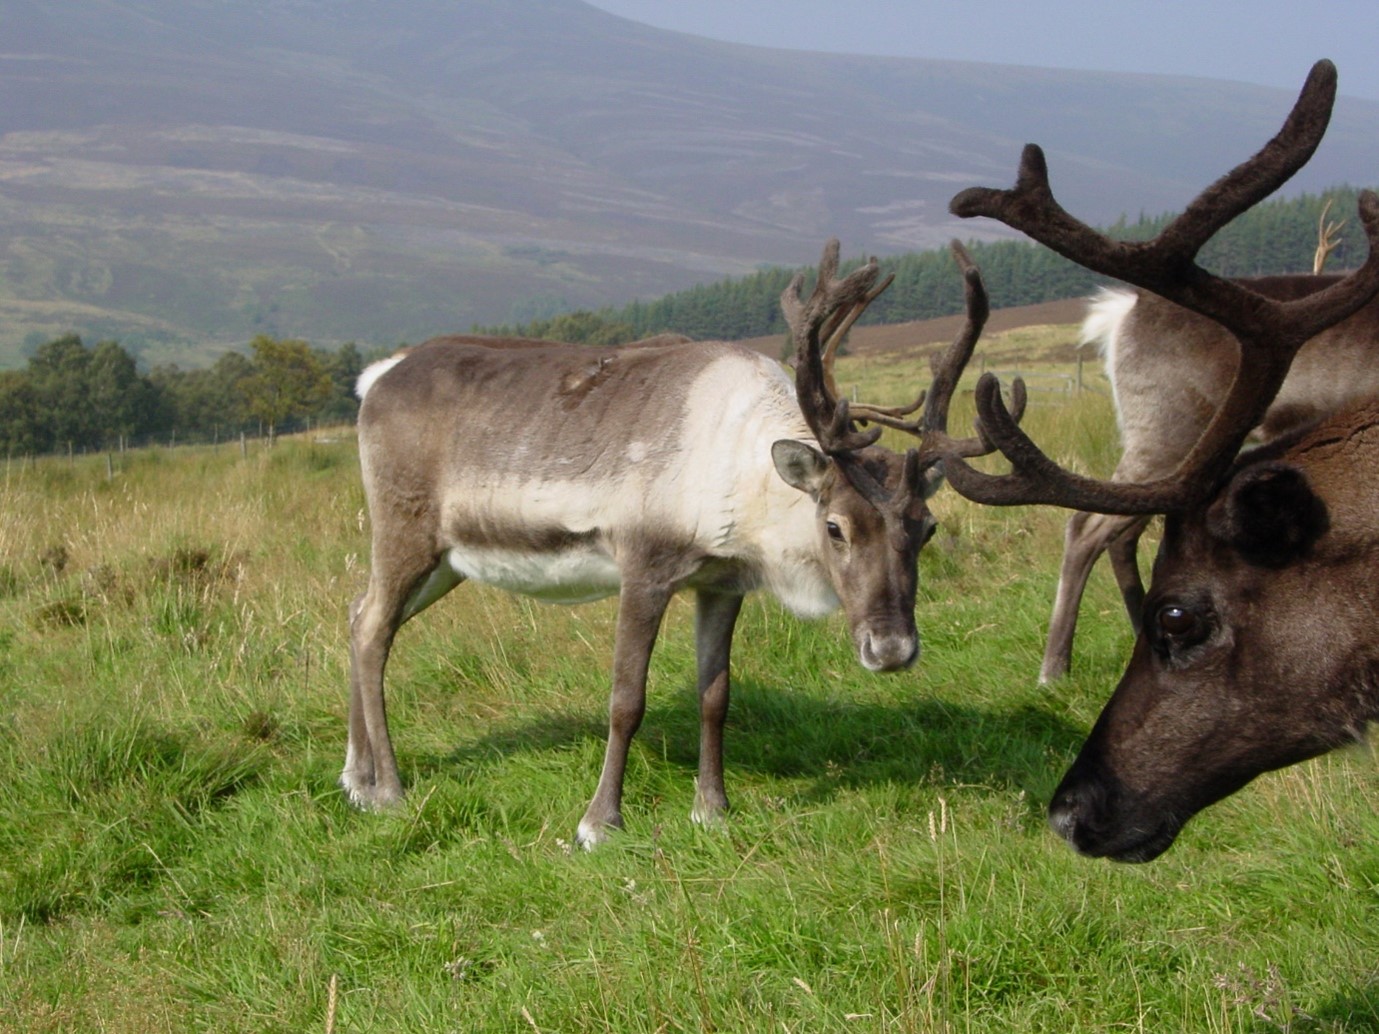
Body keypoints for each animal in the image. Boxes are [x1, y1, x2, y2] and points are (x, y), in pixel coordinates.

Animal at [345, 239, 1000, 848]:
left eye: (926, 527)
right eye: (835, 525)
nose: (891, 650)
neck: (742, 474)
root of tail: (377, 378)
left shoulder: (722, 584)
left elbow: (716, 696)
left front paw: (712, 809)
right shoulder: (645, 568)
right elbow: (626, 699)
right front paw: (599, 823)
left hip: (448, 561)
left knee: (359, 615)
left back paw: (355, 777)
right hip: (405, 531)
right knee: (375, 628)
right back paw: (389, 789)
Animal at [933, 59, 1379, 862]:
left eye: (1177, 619)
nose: (1069, 812)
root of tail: (1119, 316)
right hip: (1165, 430)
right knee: (1087, 528)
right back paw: (1053, 666)